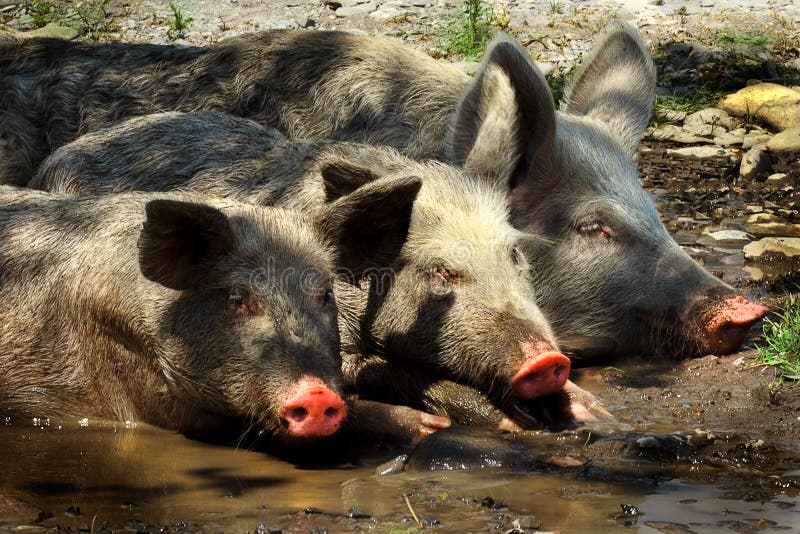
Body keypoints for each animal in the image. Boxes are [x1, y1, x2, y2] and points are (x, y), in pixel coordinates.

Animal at [31, 110, 596, 429]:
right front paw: (508, 426)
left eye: (514, 255)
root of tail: (52, 160)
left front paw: (591, 409)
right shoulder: (341, 351)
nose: (548, 360)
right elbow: (395, 373)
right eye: (441, 271)